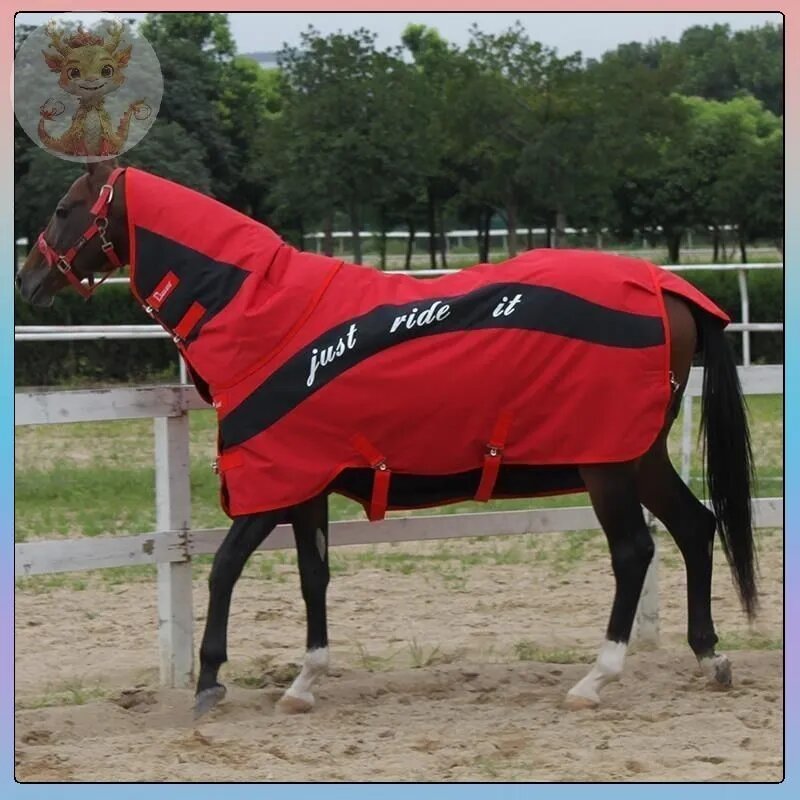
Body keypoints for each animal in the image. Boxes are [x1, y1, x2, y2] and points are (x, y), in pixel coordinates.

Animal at [16, 160, 757, 718]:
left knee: (635, 553)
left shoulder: (273, 482)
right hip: (639, 455)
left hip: (607, 464)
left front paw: (208, 681)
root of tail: (665, 283)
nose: (27, 280)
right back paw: (710, 655)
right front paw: (304, 681)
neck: (269, 317)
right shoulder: (304, 486)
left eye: (63, 207)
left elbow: (224, 567)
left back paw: (596, 678)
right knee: (695, 527)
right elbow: (313, 574)